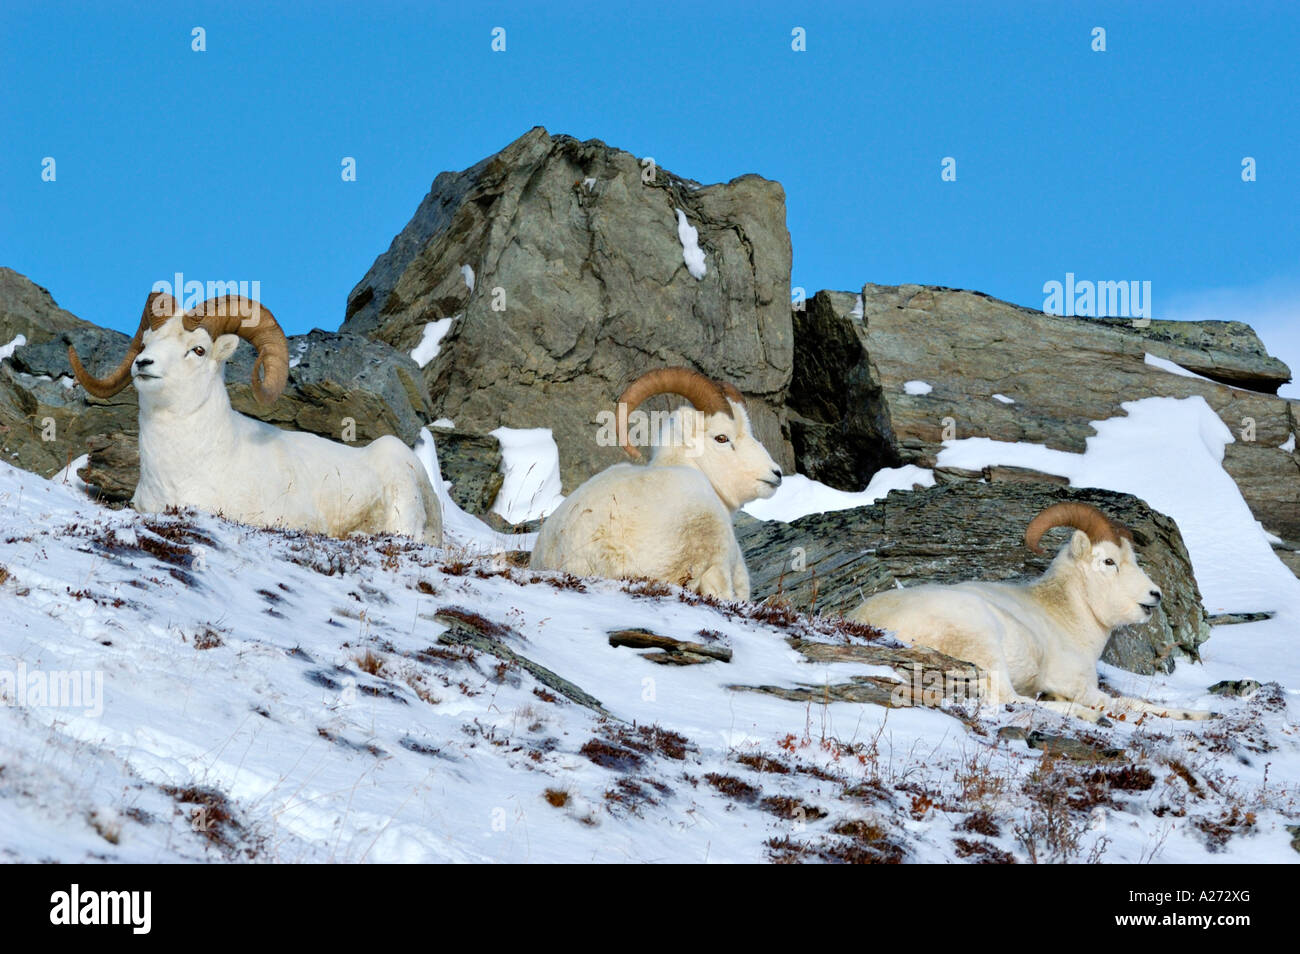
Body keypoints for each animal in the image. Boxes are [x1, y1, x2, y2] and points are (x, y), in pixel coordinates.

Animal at [849, 503, 1214, 722]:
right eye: (1109, 561)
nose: (1155, 595)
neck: (1066, 617)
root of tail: (872, 622)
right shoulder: (1082, 687)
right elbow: (1129, 704)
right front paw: (1196, 716)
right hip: (984, 642)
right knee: (1006, 698)